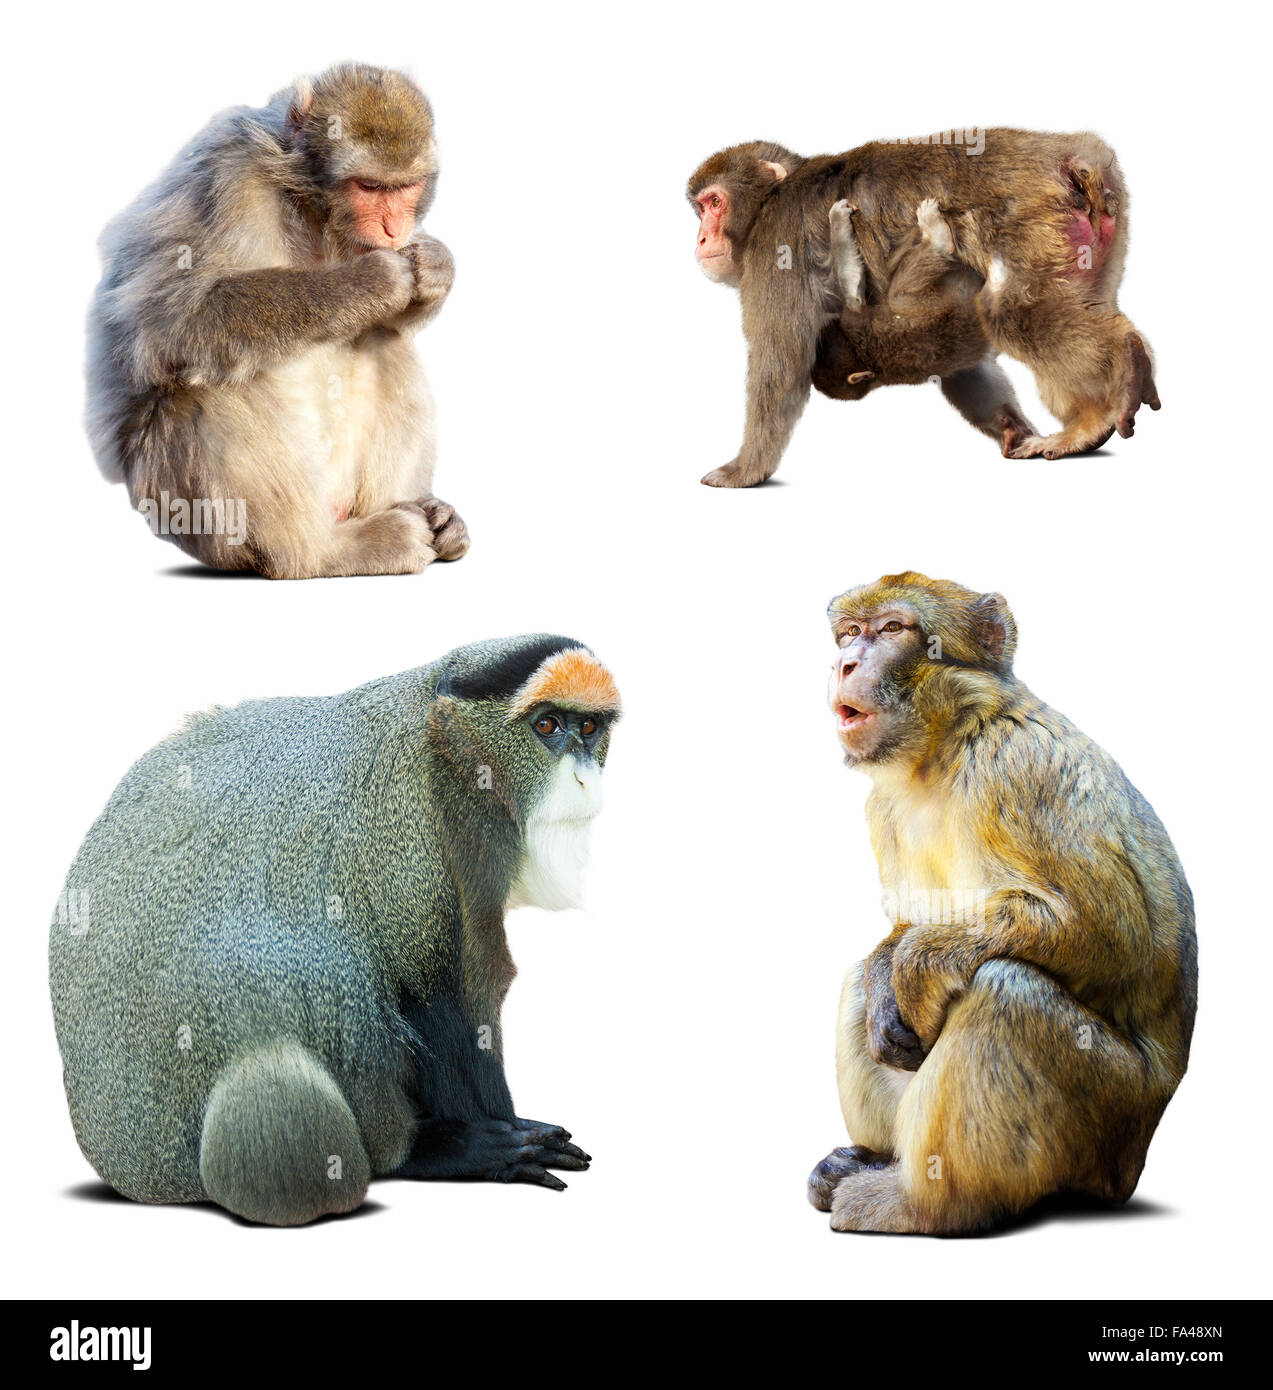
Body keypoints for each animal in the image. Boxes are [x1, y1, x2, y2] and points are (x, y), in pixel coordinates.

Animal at [49, 635, 621, 1225]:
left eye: (589, 728)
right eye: (547, 725)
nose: (584, 778)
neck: (445, 741)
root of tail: (132, 1175)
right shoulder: (410, 824)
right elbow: (439, 993)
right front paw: (482, 1148)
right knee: (284, 1044)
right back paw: (419, 1152)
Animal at [86, 63, 468, 579]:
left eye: (405, 188)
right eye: (370, 187)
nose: (393, 230)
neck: (310, 208)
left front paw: (436, 266)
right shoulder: (226, 178)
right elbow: (169, 321)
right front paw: (370, 281)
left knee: (386, 339)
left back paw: (429, 516)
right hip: (194, 519)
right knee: (202, 391)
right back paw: (329, 552)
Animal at [687, 131, 1161, 486]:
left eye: (715, 203)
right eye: (699, 209)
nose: (702, 239)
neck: (770, 200)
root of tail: (1074, 159)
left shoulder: (777, 243)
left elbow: (781, 365)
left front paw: (743, 471)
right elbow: (960, 366)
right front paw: (1011, 428)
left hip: (1030, 227)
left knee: (1007, 310)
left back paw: (1109, 389)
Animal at [806, 573, 1195, 1235]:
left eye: (891, 629)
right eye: (849, 632)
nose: (845, 663)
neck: (938, 754)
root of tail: (1128, 1169)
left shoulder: (1015, 766)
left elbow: (1110, 931)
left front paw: (915, 966)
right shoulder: (882, 809)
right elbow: (905, 925)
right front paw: (888, 972)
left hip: (1110, 1113)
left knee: (1005, 989)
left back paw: (925, 1204)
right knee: (863, 978)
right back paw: (871, 1159)